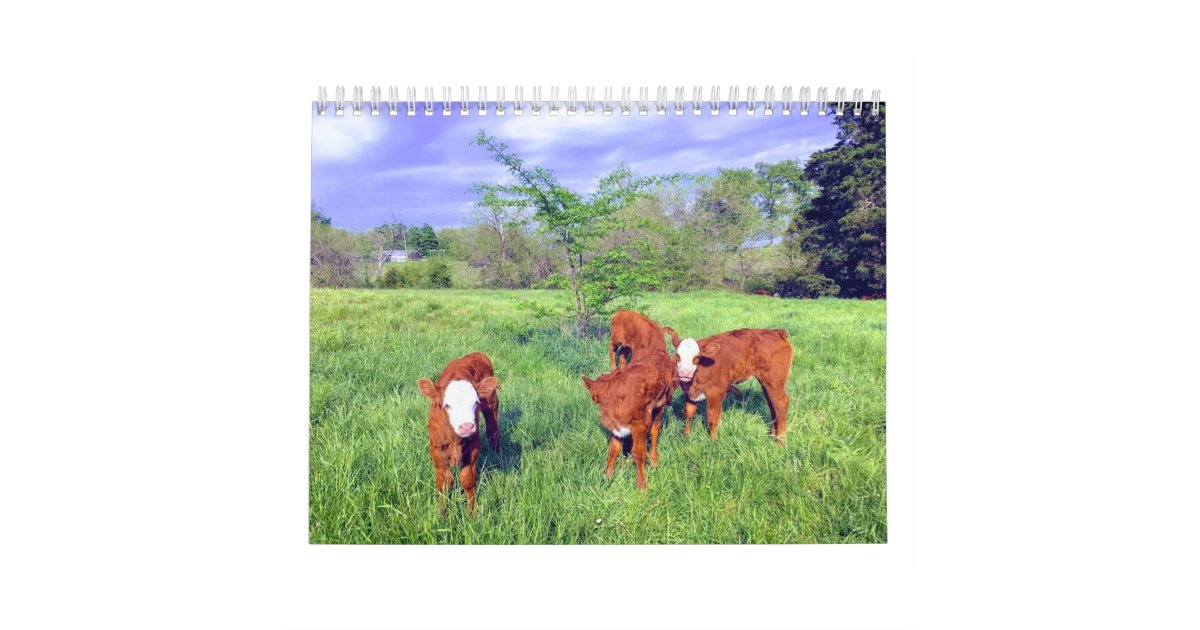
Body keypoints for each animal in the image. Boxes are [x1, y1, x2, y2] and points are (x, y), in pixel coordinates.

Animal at [416, 352, 500, 510]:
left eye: (475, 402)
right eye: (447, 405)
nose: (466, 426)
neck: (455, 439)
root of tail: (474, 355)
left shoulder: (474, 446)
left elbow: (467, 480)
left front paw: (472, 511)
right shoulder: (436, 448)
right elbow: (444, 482)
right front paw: (442, 511)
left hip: (492, 403)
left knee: (493, 430)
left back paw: (496, 453)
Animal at [581, 348, 675, 489]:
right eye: (595, 400)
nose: (605, 420)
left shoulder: (639, 424)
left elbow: (639, 453)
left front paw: (642, 485)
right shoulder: (617, 428)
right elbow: (613, 450)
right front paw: (607, 477)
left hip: (660, 404)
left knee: (654, 430)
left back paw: (654, 461)